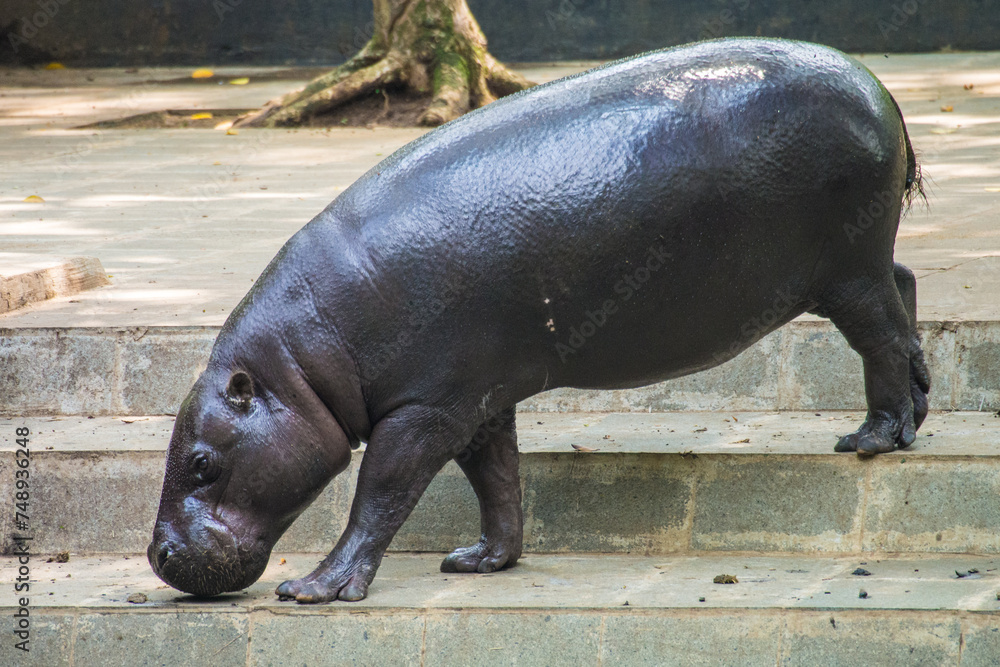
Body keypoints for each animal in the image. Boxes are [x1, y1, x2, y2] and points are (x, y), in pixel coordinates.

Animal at [149, 37, 930, 603]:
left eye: (201, 462)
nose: (157, 555)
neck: (303, 362)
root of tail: (883, 91)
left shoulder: (425, 408)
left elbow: (382, 493)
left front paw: (316, 589)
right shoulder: (480, 399)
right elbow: (498, 480)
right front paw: (479, 560)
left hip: (846, 270)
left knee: (882, 338)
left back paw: (873, 438)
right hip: (858, 263)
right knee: (907, 289)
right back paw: (916, 412)